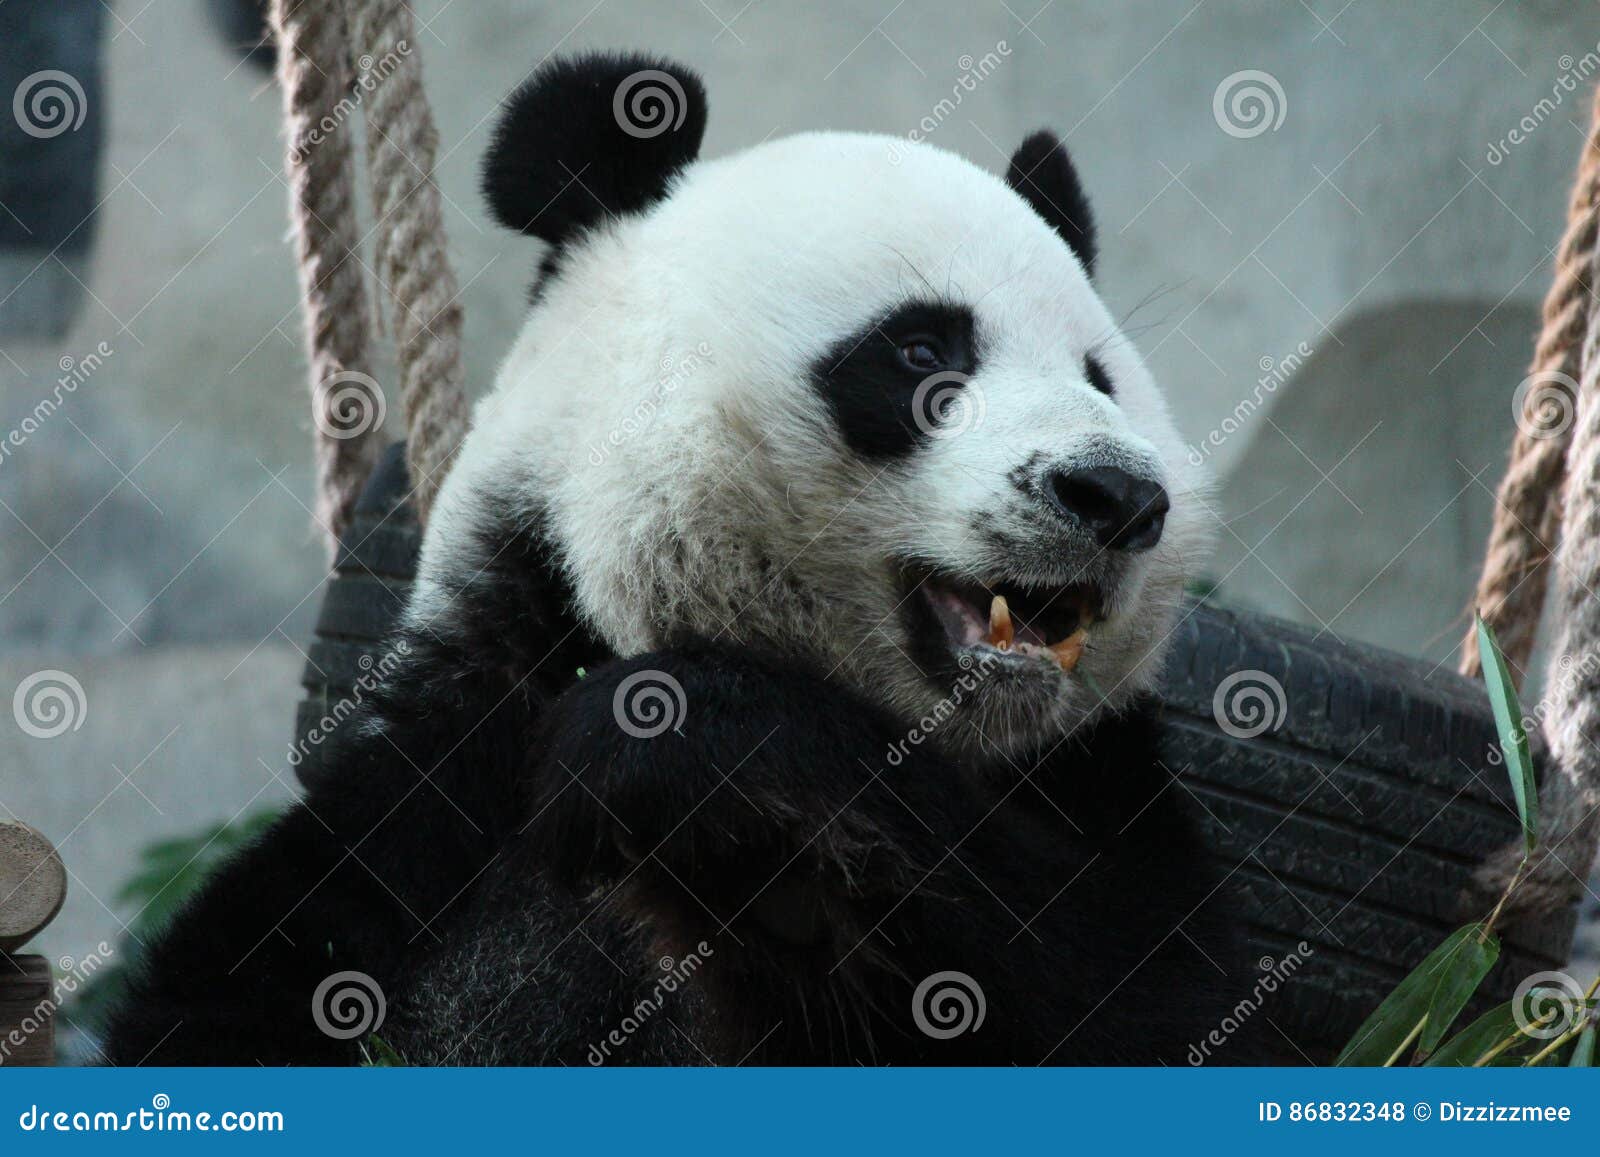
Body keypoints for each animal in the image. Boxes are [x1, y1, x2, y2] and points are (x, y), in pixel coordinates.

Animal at [104, 51, 1262, 1067]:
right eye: (923, 352)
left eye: (1100, 378)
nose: (1117, 495)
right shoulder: (438, 788)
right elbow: (238, 986)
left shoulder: (1093, 784)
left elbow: (1144, 997)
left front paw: (667, 734)